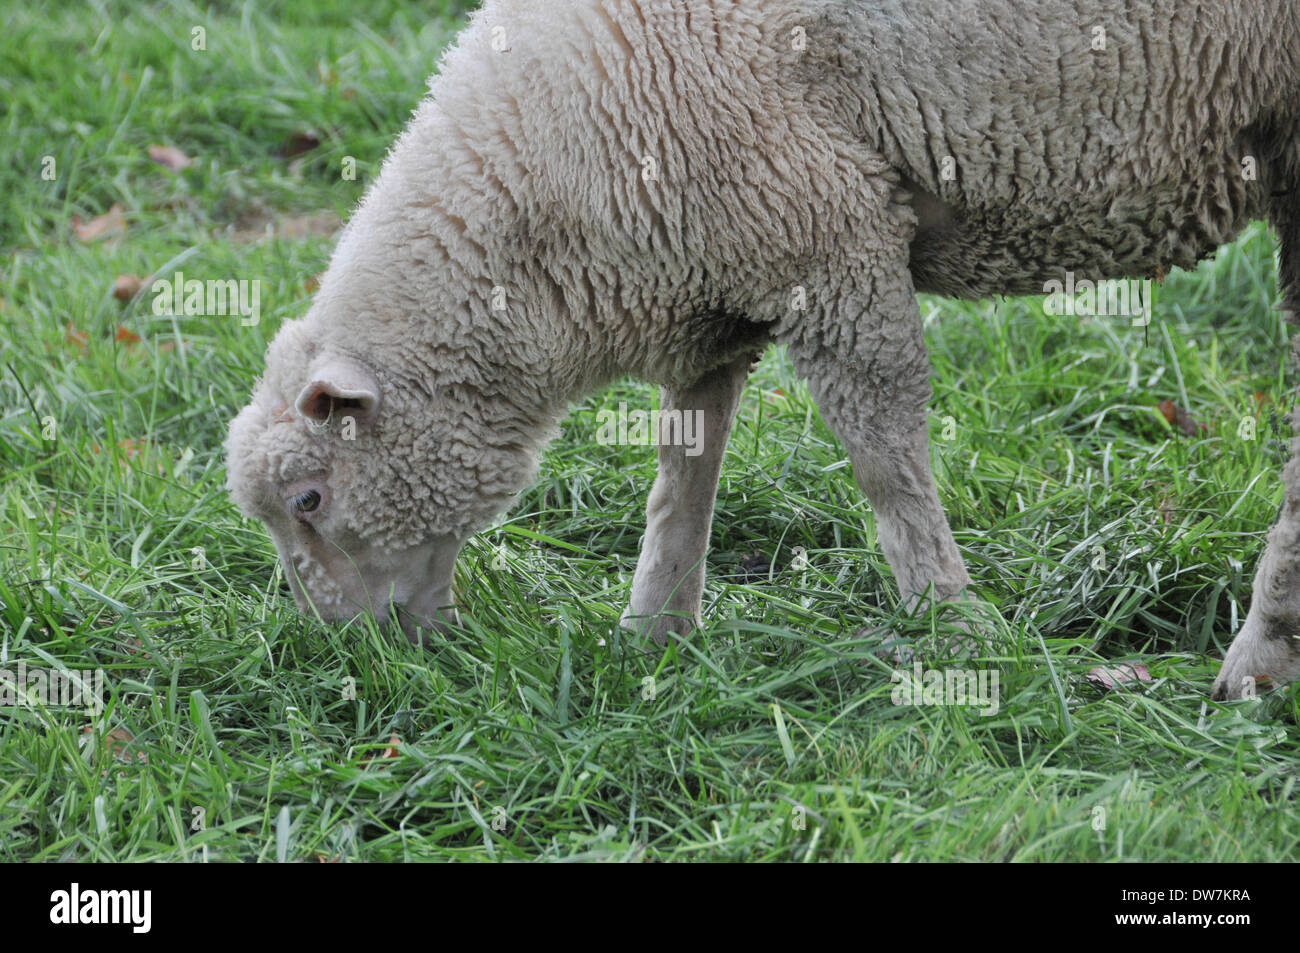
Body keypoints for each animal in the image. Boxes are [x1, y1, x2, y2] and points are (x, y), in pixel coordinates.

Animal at [225, 0, 1300, 701]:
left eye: (310, 499)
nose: (354, 660)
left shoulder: (831, 236)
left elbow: (884, 457)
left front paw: (951, 623)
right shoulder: (715, 274)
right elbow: (683, 471)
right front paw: (653, 634)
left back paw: (1261, 658)